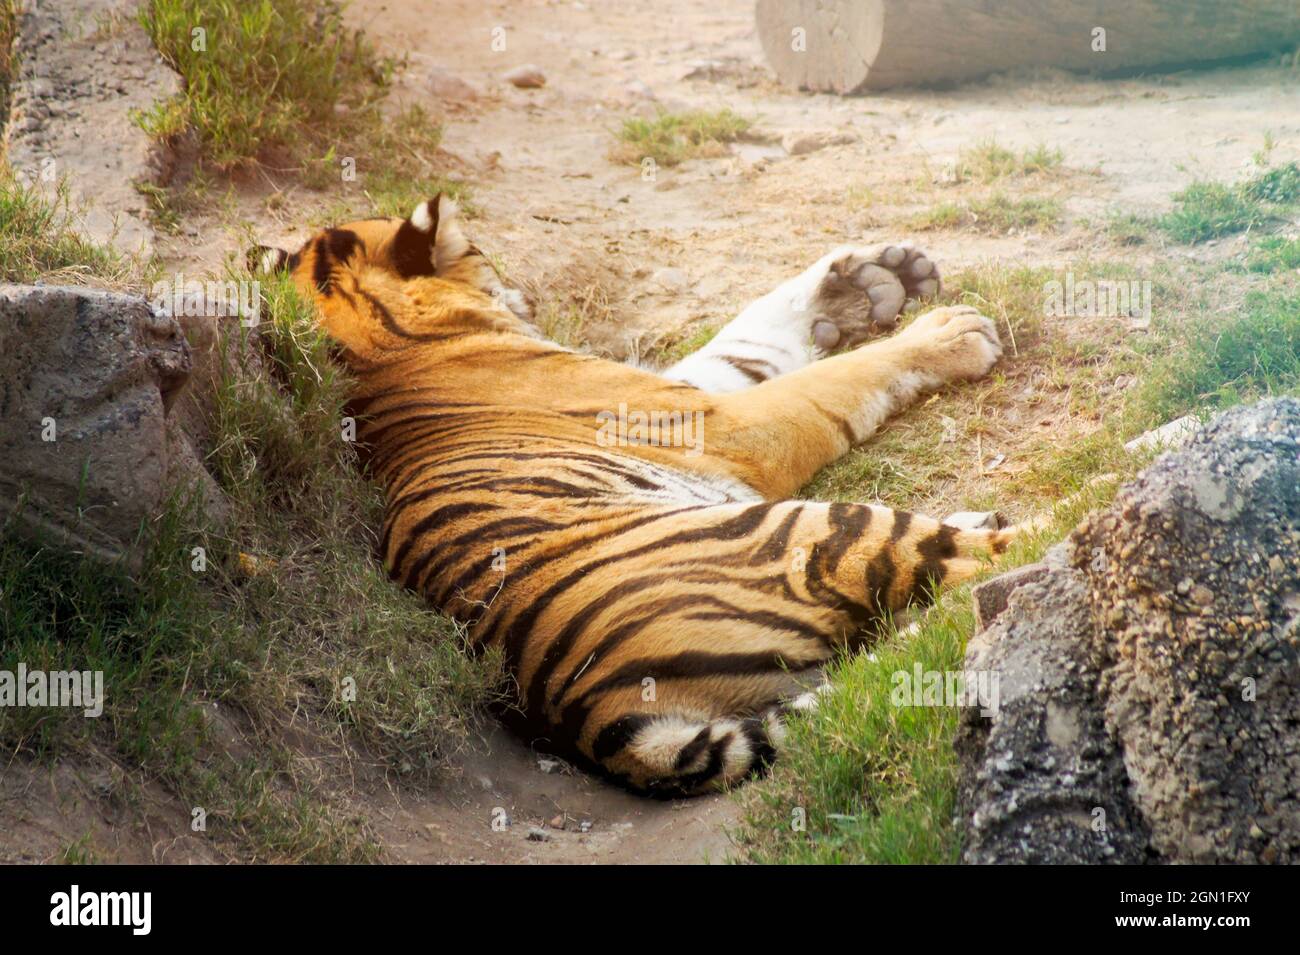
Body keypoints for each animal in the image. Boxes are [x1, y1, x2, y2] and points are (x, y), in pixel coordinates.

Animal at [253, 194, 1017, 797]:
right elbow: (834, 380)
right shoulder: (729, 424)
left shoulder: (691, 390)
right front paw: (949, 329)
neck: (385, 346)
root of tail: (605, 720)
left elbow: (744, 340)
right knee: (971, 563)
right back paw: (1038, 532)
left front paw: (866, 280)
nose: (525, 290)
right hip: (815, 528)